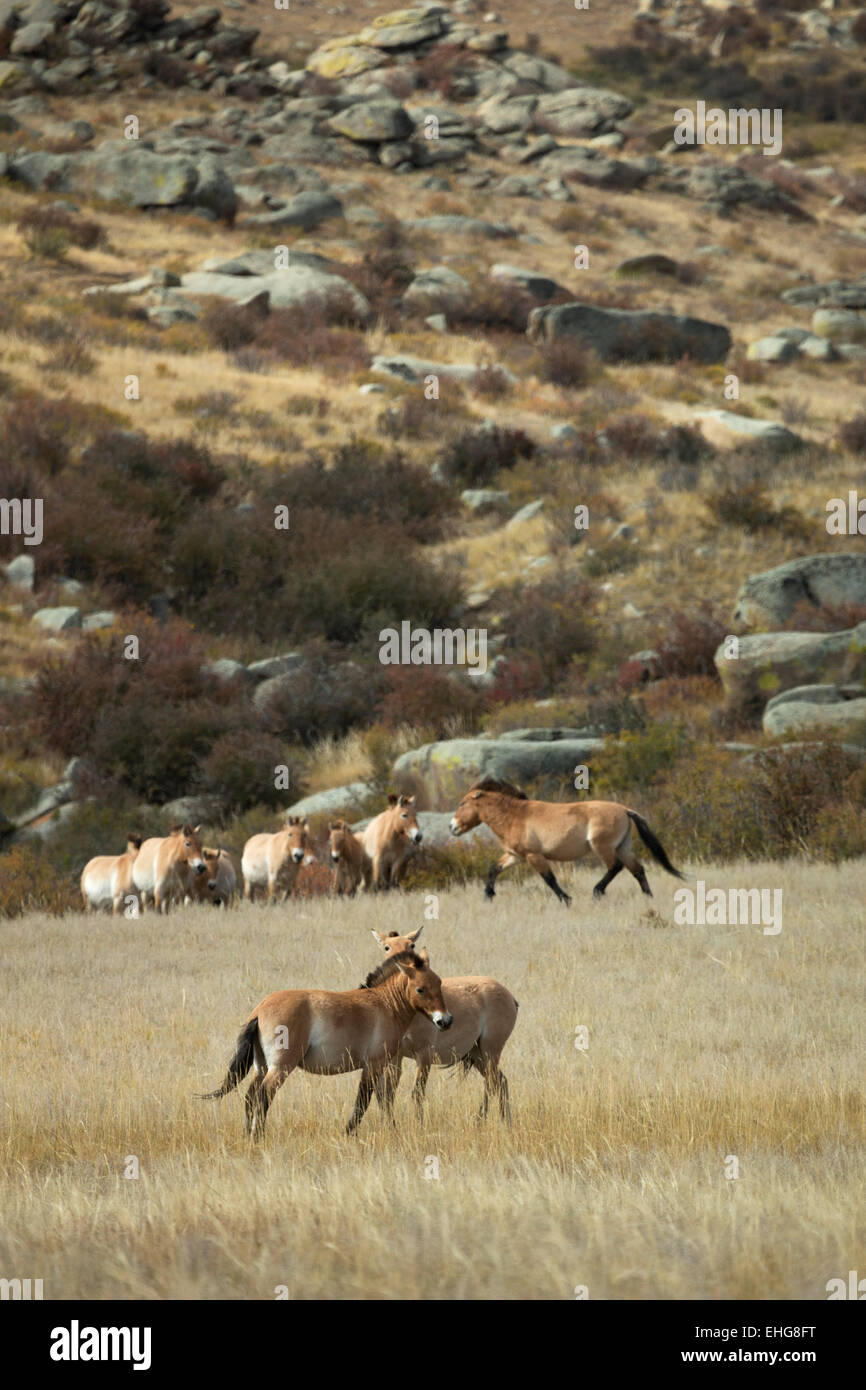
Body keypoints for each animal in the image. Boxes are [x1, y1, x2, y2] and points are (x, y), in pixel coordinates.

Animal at [196, 947, 453, 1137]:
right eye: (420, 989)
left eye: (439, 983)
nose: (445, 1021)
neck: (385, 1003)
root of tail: (259, 1011)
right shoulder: (373, 1065)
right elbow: (363, 1102)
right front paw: (348, 1133)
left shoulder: (383, 1066)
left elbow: (384, 1100)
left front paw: (392, 1130)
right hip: (279, 1068)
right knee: (262, 1097)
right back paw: (258, 1137)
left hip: (261, 1068)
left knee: (250, 1098)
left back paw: (248, 1136)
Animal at [365, 926, 517, 1122]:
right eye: (386, 947)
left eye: (412, 945)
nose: (407, 969)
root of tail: (509, 996)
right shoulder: (394, 1057)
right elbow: (387, 1094)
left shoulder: (424, 1055)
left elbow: (417, 1094)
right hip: (478, 1055)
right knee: (500, 1082)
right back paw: (503, 1122)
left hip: (489, 1052)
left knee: (493, 1084)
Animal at [450, 776, 685, 905]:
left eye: (462, 803)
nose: (452, 827)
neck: (515, 816)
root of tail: (625, 810)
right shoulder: (515, 856)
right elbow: (493, 869)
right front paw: (488, 896)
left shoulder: (533, 855)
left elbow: (549, 879)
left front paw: (567, 900)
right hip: (622, 847)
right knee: (637, 870)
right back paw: (648, 897)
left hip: (603, 847)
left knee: (616, 866)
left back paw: (597, 892)